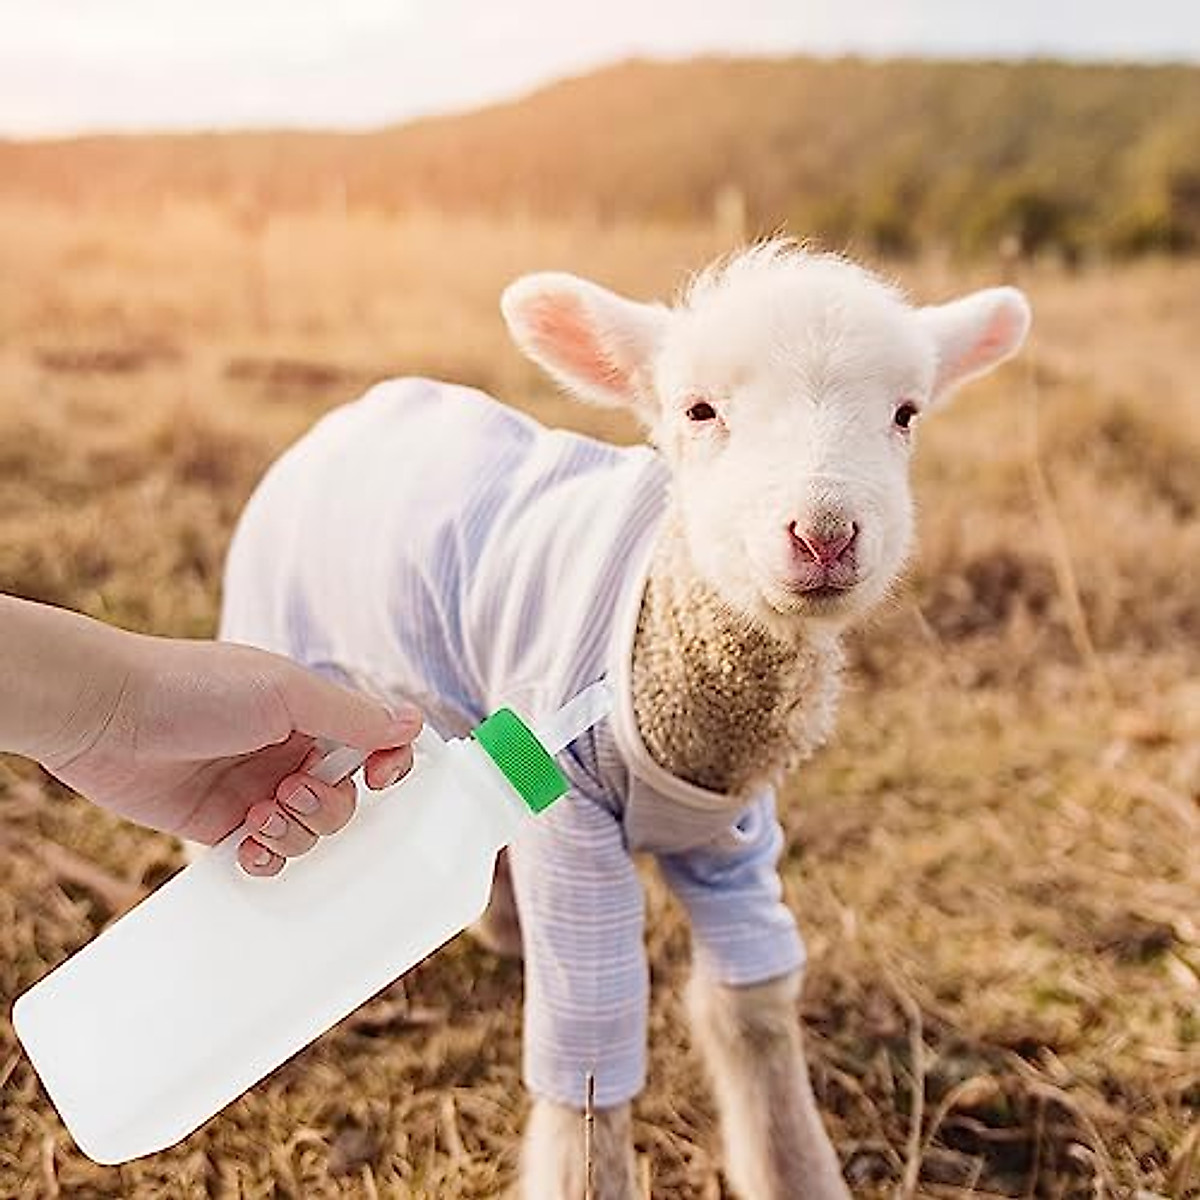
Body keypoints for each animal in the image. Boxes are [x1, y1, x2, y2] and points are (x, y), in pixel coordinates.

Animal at [218, 238, 1031, 1199]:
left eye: (906, 414)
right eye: (699, 410)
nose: (826, 536)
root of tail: (347, 414)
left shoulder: (736, 836)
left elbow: (752, 1007)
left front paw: (794, 1171)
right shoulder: (570, 825)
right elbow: (590, 1053)